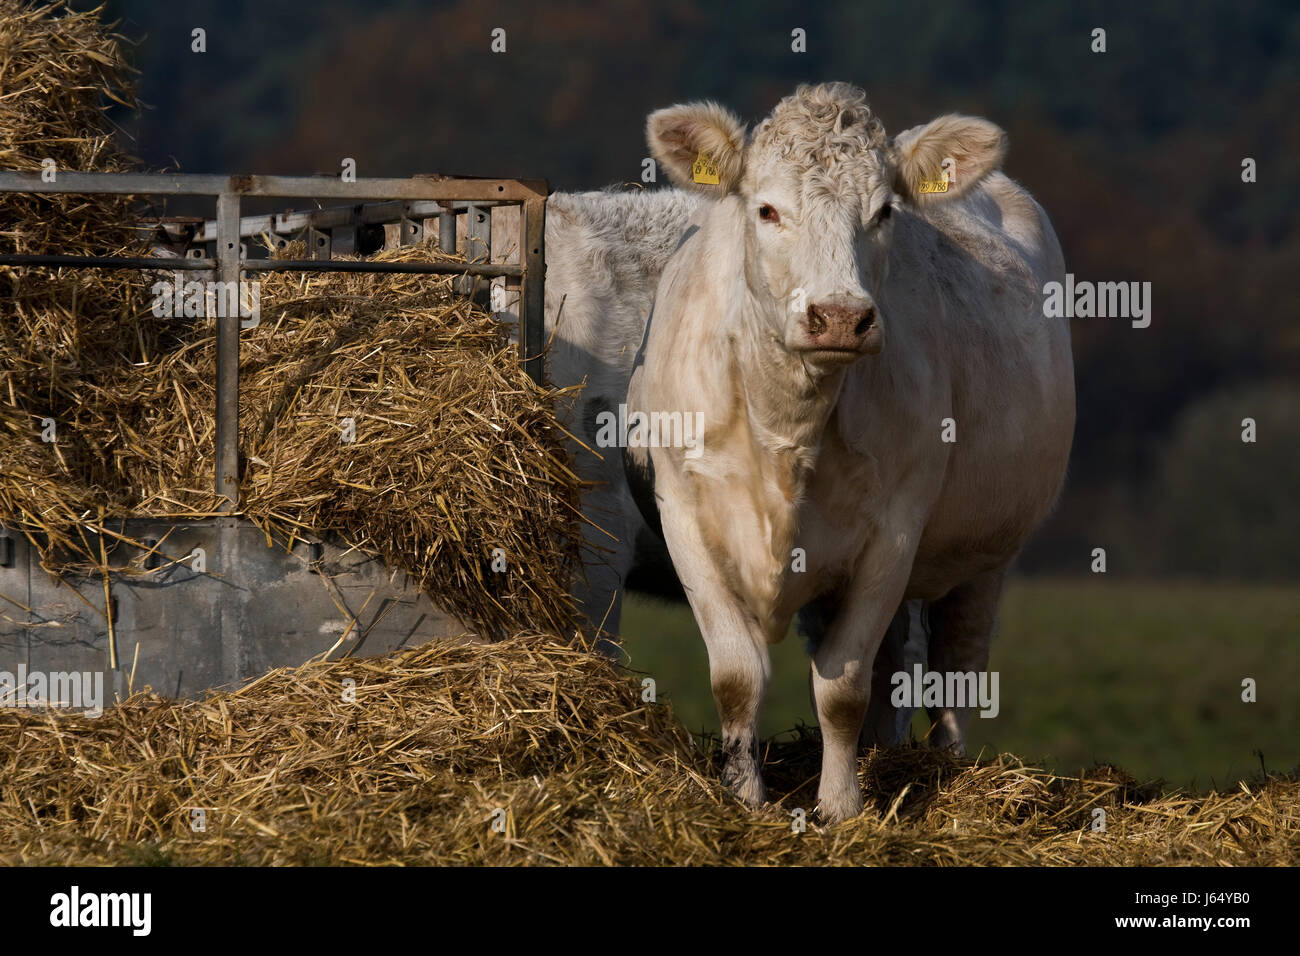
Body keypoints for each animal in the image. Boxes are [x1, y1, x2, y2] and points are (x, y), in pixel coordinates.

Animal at [624, 82, 1075, 823]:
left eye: (884, 211)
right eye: (767, 209)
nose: (840, 316)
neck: (787, 422)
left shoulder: (894, 529)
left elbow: (841, 689)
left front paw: (840, 807)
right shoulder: (683, 513)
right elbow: (737, 676)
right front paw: (744, 797)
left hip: (985, 552)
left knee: (955, 667)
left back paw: (944, 767)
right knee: (896, 666)